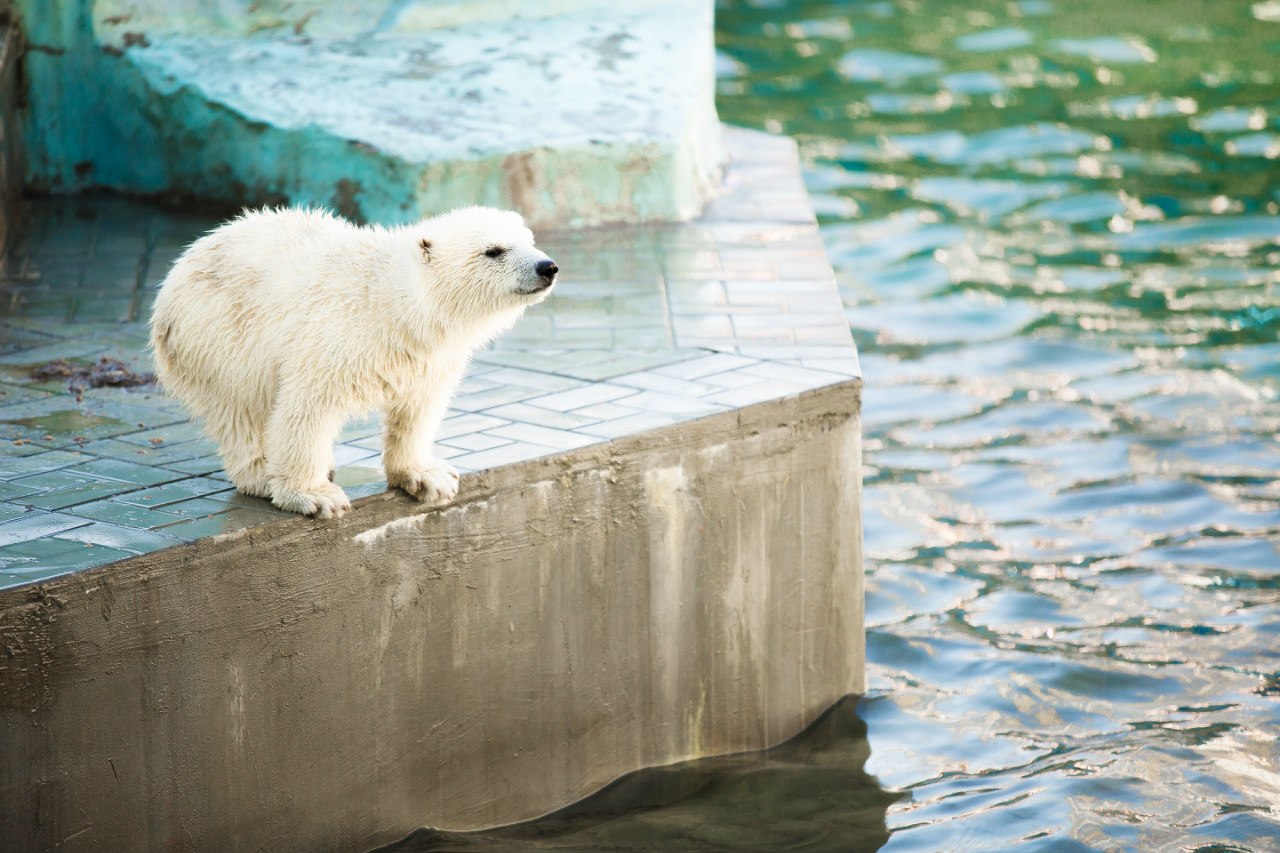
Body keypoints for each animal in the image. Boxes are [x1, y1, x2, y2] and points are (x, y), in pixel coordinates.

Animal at [148, 206, 555, 517]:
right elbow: (307, 408)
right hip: (220, 334)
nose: (547, 266)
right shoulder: (335, 336)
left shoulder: (429, 357)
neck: (395, 304)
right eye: (494, 251)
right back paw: (263, 474)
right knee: (239, 408)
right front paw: (313, 496)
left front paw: (428, 477)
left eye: (529, 240)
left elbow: (418, 408)